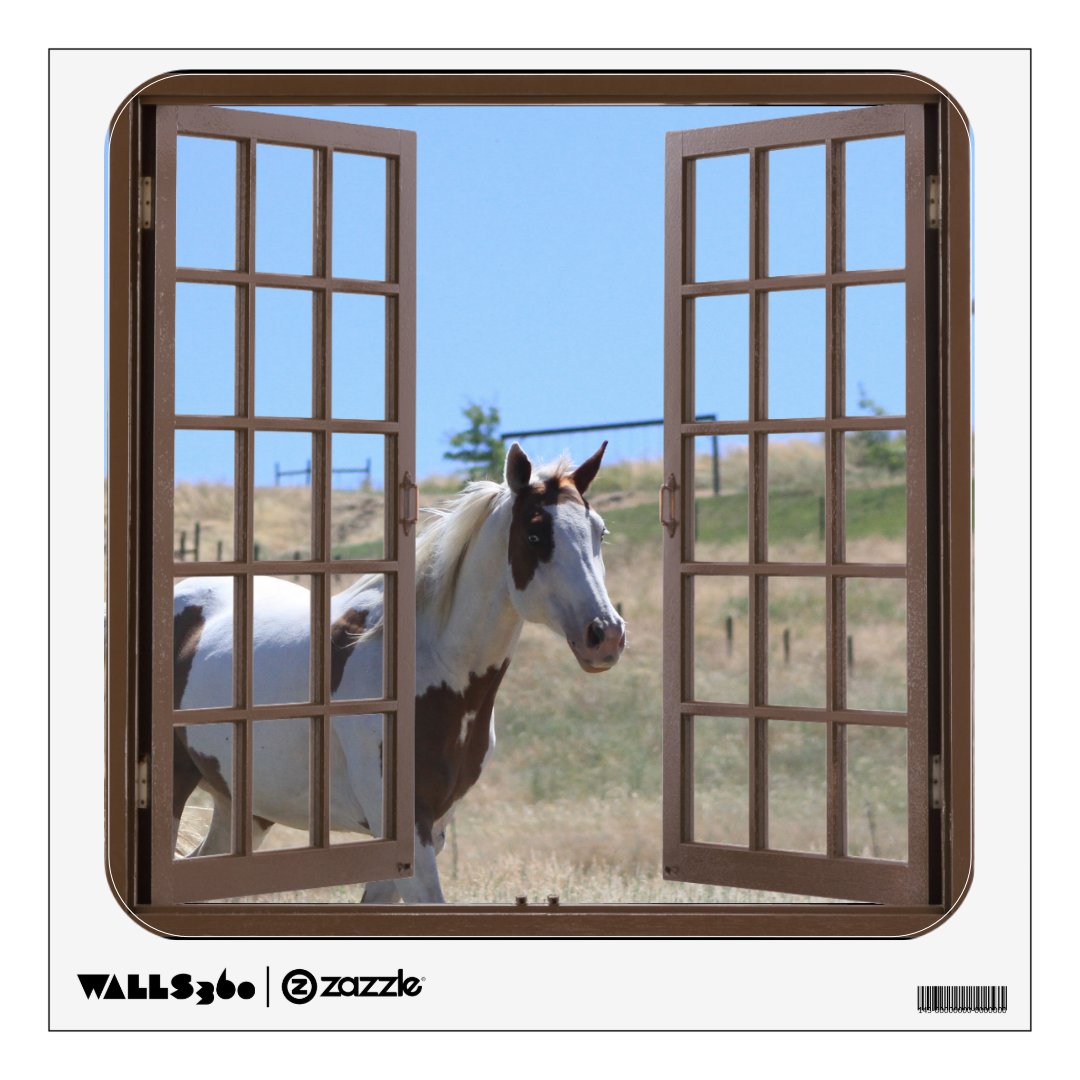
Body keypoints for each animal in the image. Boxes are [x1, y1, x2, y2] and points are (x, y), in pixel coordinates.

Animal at [172, 441, 626, 902]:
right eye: (535, 535)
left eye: (600, 532)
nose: (605, 635)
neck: (429, 672)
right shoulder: (410, 830)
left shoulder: (429, 832)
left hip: (243, 809)